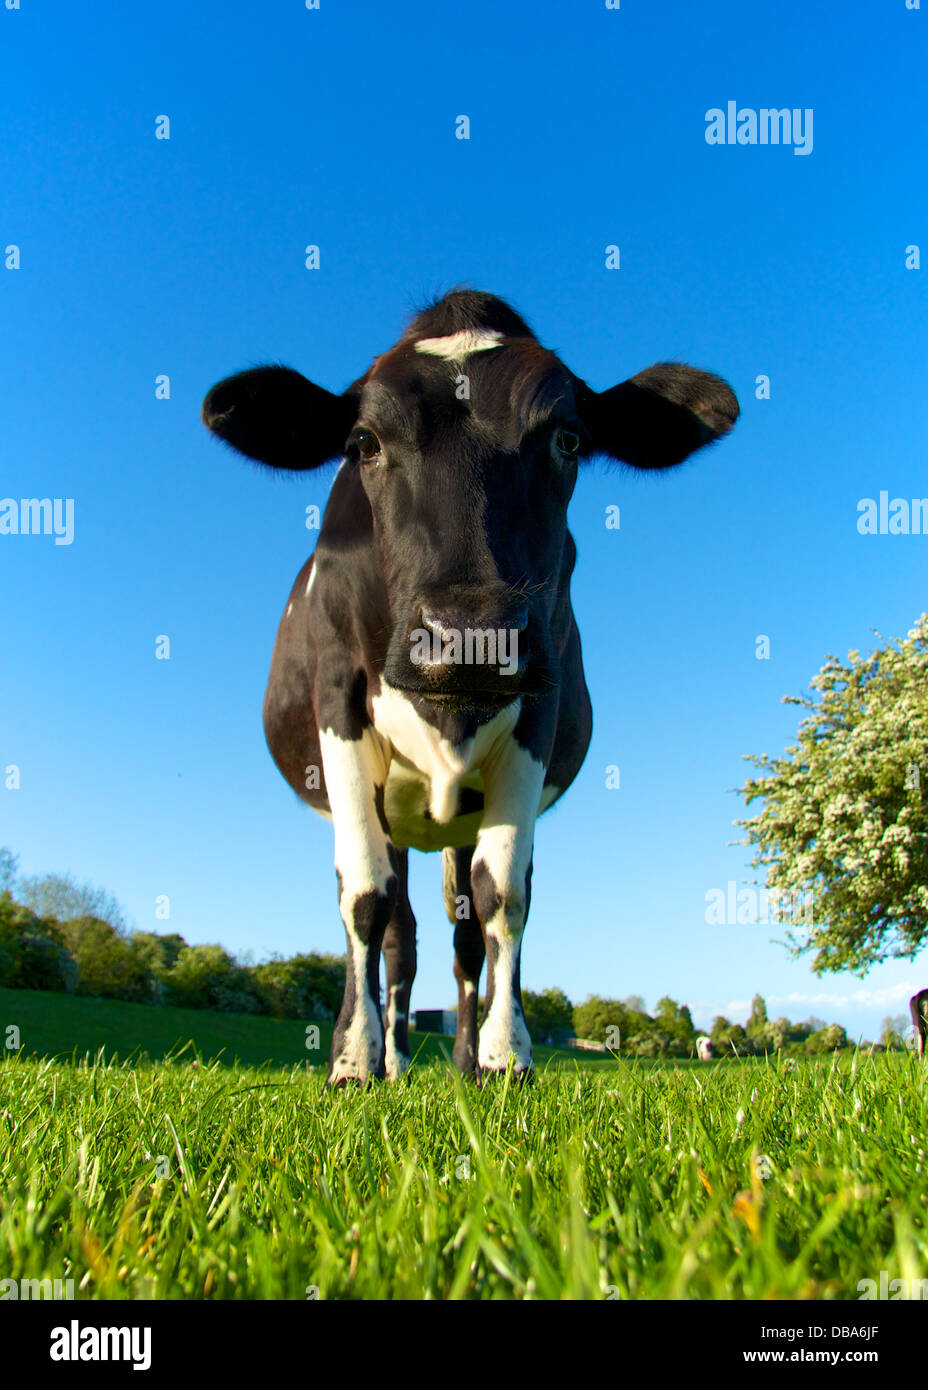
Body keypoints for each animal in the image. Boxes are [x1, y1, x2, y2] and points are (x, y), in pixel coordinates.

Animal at [201, 290, 739, 1085]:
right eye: (364, 442)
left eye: (568, 439)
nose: (470, 636)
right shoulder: (338, 697)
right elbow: (364, 897)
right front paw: (353, 1060)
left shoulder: (538, 709)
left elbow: (502, 896)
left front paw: (504, 1053)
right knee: (398, 930)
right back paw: (391, 1058)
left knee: (460, 930)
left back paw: (459, 1058)